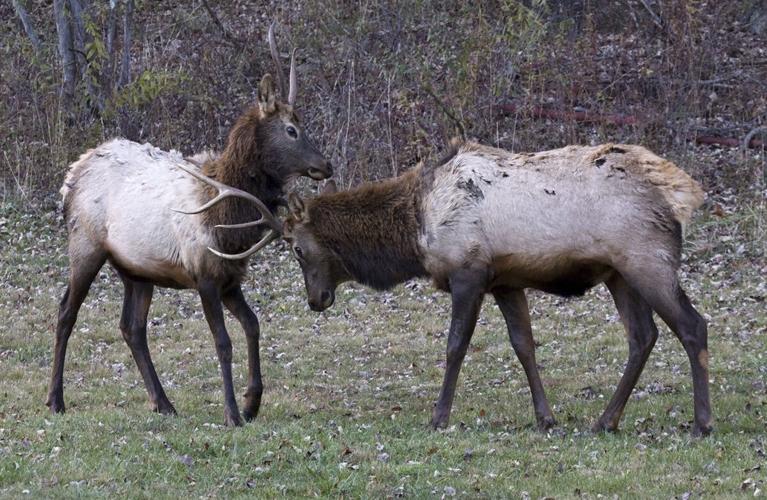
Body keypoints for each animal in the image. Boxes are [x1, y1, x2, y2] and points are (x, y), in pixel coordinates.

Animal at [49, 24, 331, 427]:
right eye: (292, 129)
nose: (326, 165)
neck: (230, 221)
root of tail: (73, 174)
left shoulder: (230, 277)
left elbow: (253, 324)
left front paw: (252, 402)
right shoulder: (205, 275)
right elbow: (223, 342)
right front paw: (232, 412)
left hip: (136, 269)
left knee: (132, 327)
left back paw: (163, 402)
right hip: (85, 244)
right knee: (65, 313)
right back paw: (56, 399)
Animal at [202, 139, 711, 435]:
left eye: (297, 249)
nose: (316, 300)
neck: (415, 229)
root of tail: (680, 191)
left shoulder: (470, 274)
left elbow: (455, 346)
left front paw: (439, 416)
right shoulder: (505, 281)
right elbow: (524, 345)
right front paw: (545, 417)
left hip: (646, 260)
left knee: (693, 326)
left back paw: (701, 423)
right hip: (619, 274)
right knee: (643, 336)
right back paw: (605, 420)